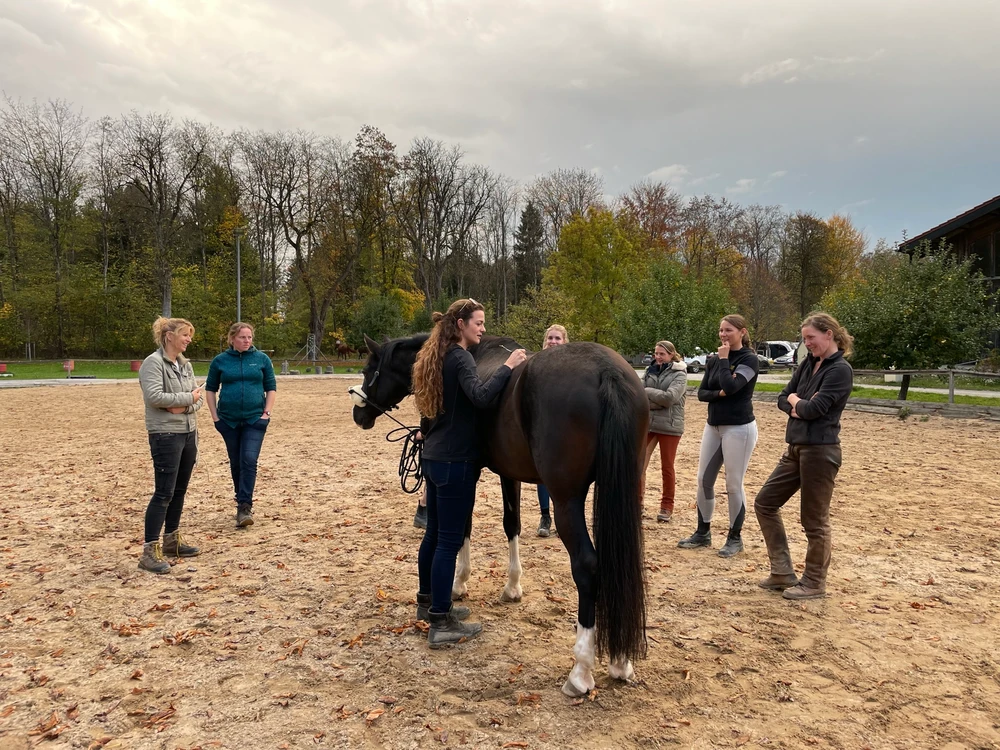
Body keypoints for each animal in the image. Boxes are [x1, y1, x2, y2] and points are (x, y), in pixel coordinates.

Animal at [351, 332, 649, 696]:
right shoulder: (510, 473)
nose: (359, 413)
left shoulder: (467, 471)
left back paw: (580, 671)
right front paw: (512, 587)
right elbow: (512, 525)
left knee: (587, 566)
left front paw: (458, 583)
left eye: (369, 369)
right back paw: (621, 661)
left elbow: (462, 527)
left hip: (567, 499)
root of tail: (608, 371)